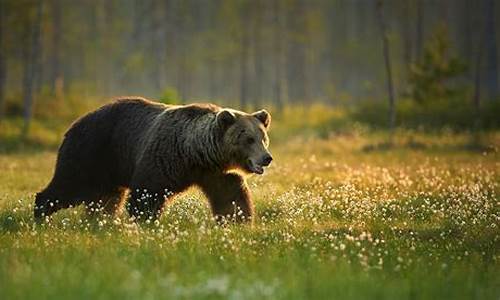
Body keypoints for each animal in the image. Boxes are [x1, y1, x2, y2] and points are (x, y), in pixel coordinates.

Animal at [34, 96, 274, 223]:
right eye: (249, 139)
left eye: (263, 138)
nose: (266, 158)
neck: (196, 154)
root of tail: (73, 124)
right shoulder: (164, 159)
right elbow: (147, 194)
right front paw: (146, 221)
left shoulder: (215, 173)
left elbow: (230, 196)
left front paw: (238, 219)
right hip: (92, 152)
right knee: (69, 184)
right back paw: (41, 215)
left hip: (110, 169)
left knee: (107, 199)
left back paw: (100, 221)